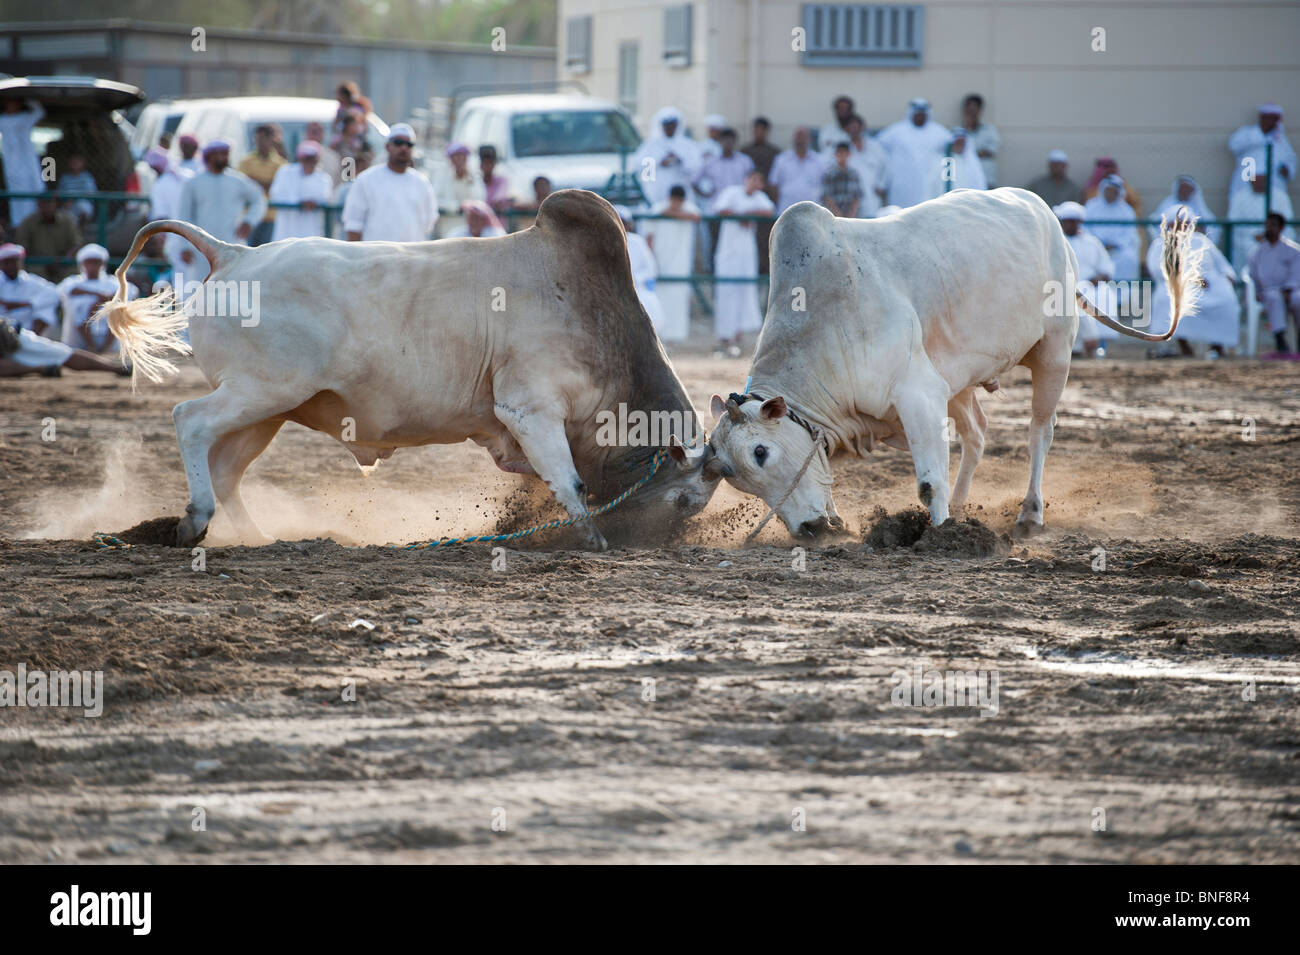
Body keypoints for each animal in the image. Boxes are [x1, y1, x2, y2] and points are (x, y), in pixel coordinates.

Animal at [102, 189, 714, 550]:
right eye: (684, 499)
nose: (661, 545)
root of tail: (233, 253)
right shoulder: (531, 406)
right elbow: (570, 480)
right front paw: (591, 538)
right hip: (260, 392)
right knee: (190, 422)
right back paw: (195, 519)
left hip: (267, 408)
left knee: (227, 468)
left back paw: (260, 536)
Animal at [701, 187, 1203, 540]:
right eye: (735, 478)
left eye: (760, 452)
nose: (806, 532)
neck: (823, 320)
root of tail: (1045, 214)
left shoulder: (918, 395)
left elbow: (928, 483)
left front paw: (940, 536)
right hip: (959, 382)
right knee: (977, 433)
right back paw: (964, 507)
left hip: (1055, 350)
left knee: (1040, 431)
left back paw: (1029, 514)